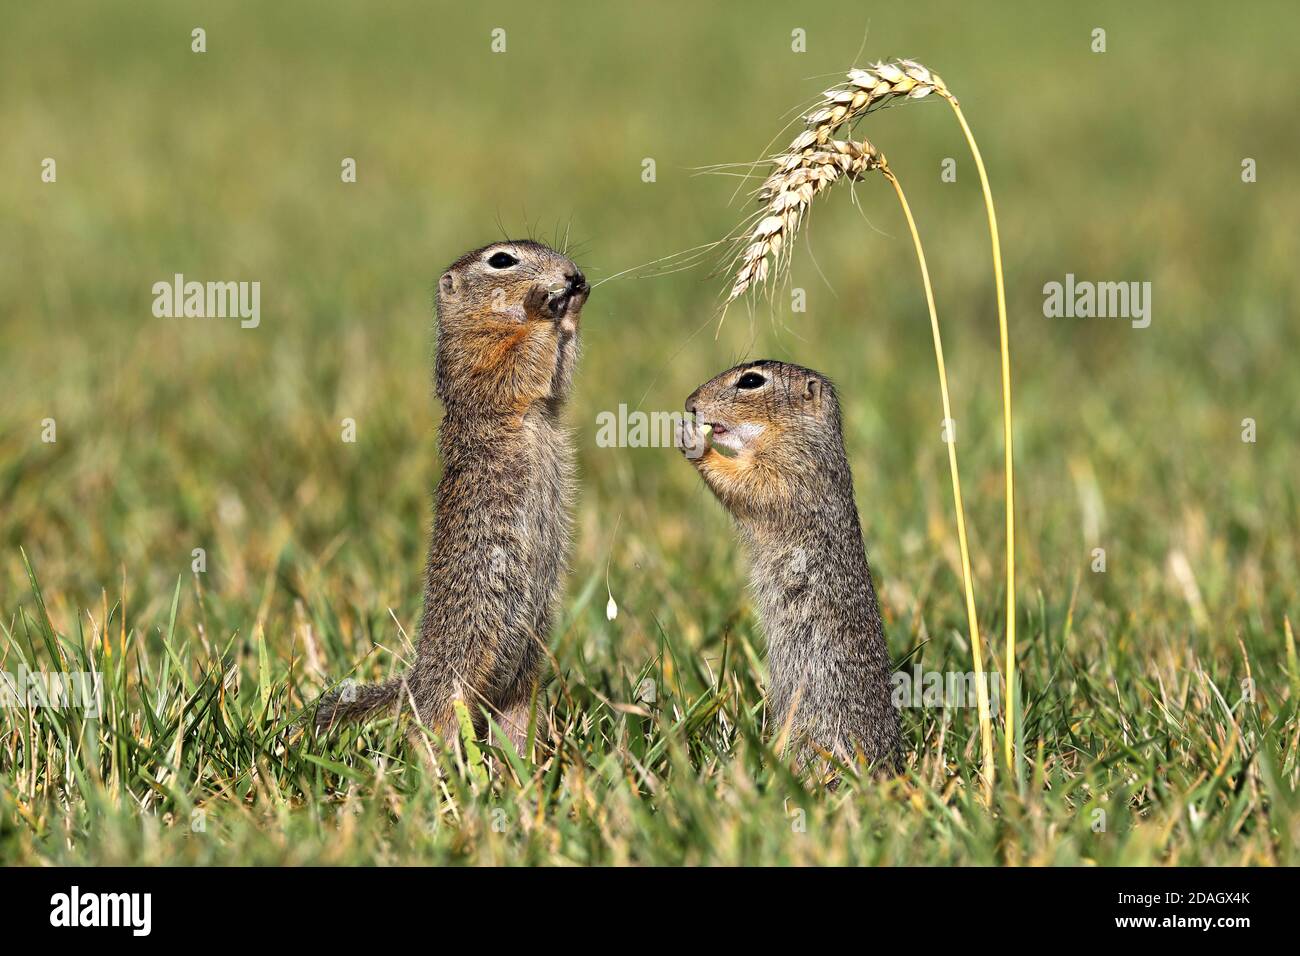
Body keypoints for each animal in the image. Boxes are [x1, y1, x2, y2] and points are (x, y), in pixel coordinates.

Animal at [314, 239, 589, 753]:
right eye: (501, 260)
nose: (572, 274)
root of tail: (419, 678)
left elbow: (557, 377)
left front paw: (572, 307)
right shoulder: (477, 360)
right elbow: (517, 363)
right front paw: (542, 307)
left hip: (523, 680)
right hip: (460, 674)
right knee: (432, 725)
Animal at [676, 360, 903, 775]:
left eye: (751, 381)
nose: (690, 403)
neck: (800, 435)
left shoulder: (788, 472)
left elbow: (748, 484)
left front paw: (695, 442)